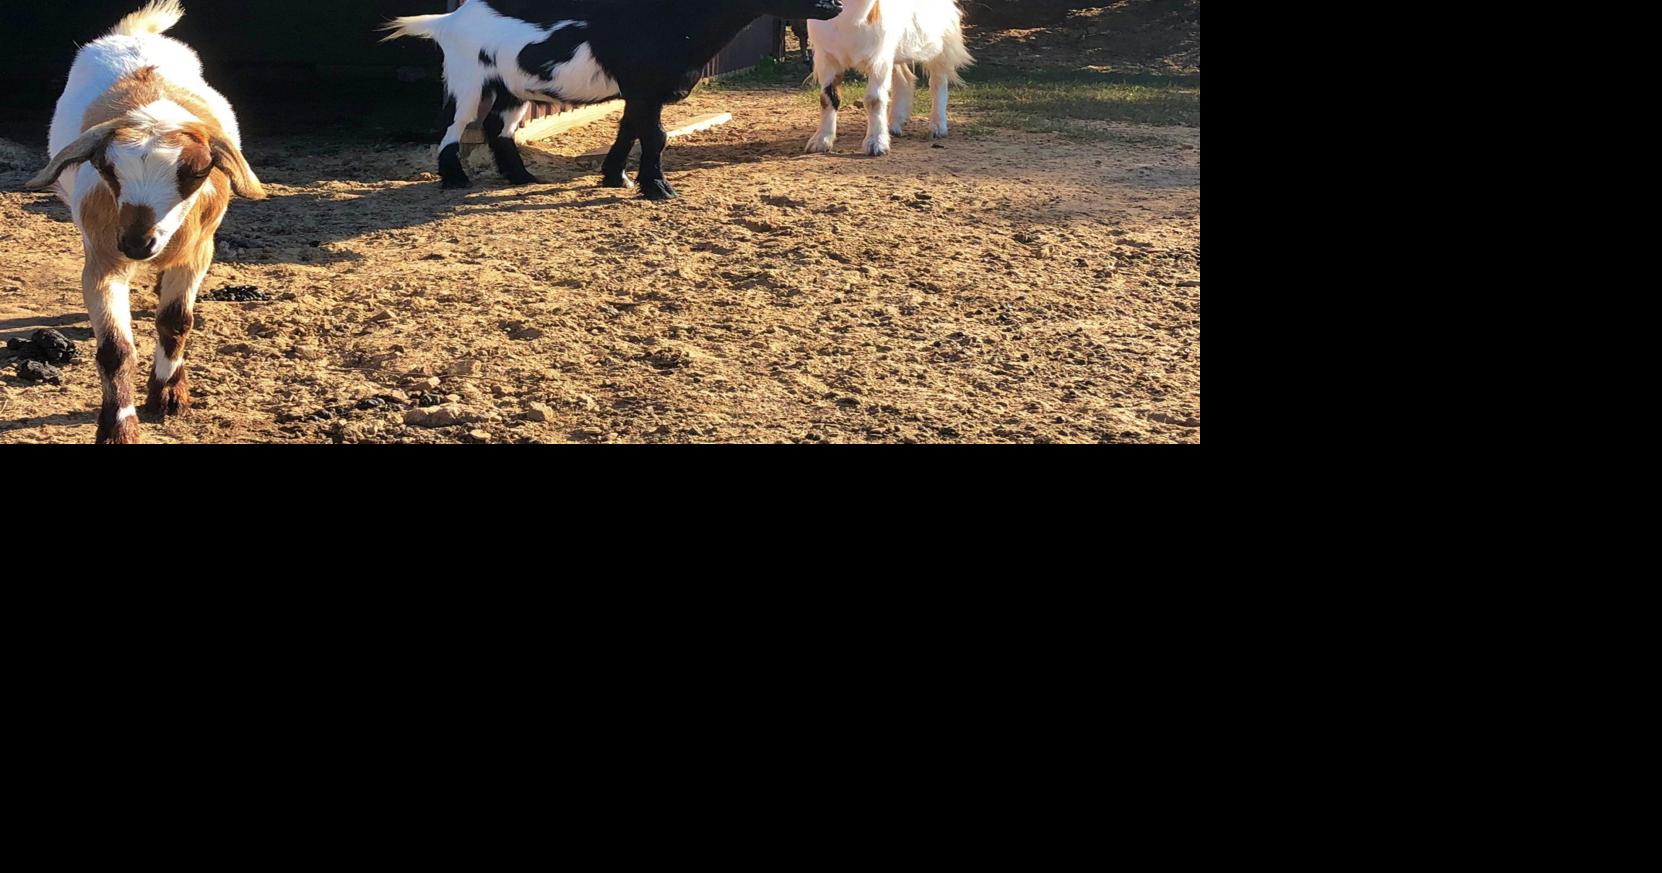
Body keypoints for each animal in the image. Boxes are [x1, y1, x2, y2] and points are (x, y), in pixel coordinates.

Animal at [24, 0, 265, 445]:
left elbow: (176, 320)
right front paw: (119, 426)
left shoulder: (198, 252)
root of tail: (134, 33)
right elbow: (116, 349)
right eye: (105, 167)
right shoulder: (103, 258)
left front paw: (168, 394)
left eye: (197, 170)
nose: (138, 243)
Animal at [385, 0, 845, 200]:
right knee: (454, 125)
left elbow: (630, 131)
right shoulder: (644, 85)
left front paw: (616, 177)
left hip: (511, 87)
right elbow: (655, 135)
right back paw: (455, 179)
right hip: (467, 77)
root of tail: (448, 19)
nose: (836, 4)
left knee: (499, 127)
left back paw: (523, 178)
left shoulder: (641, 91)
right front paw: (659, 189)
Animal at [806, 0, 972, 156]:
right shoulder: (825, 57)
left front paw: (876, 143)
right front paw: (821, 141)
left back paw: (938, 127)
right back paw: (894, 125)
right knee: (904, 77)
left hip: (937, 36)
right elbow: (828, 98)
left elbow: (874, 100)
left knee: (938, 79)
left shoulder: (878, 57)